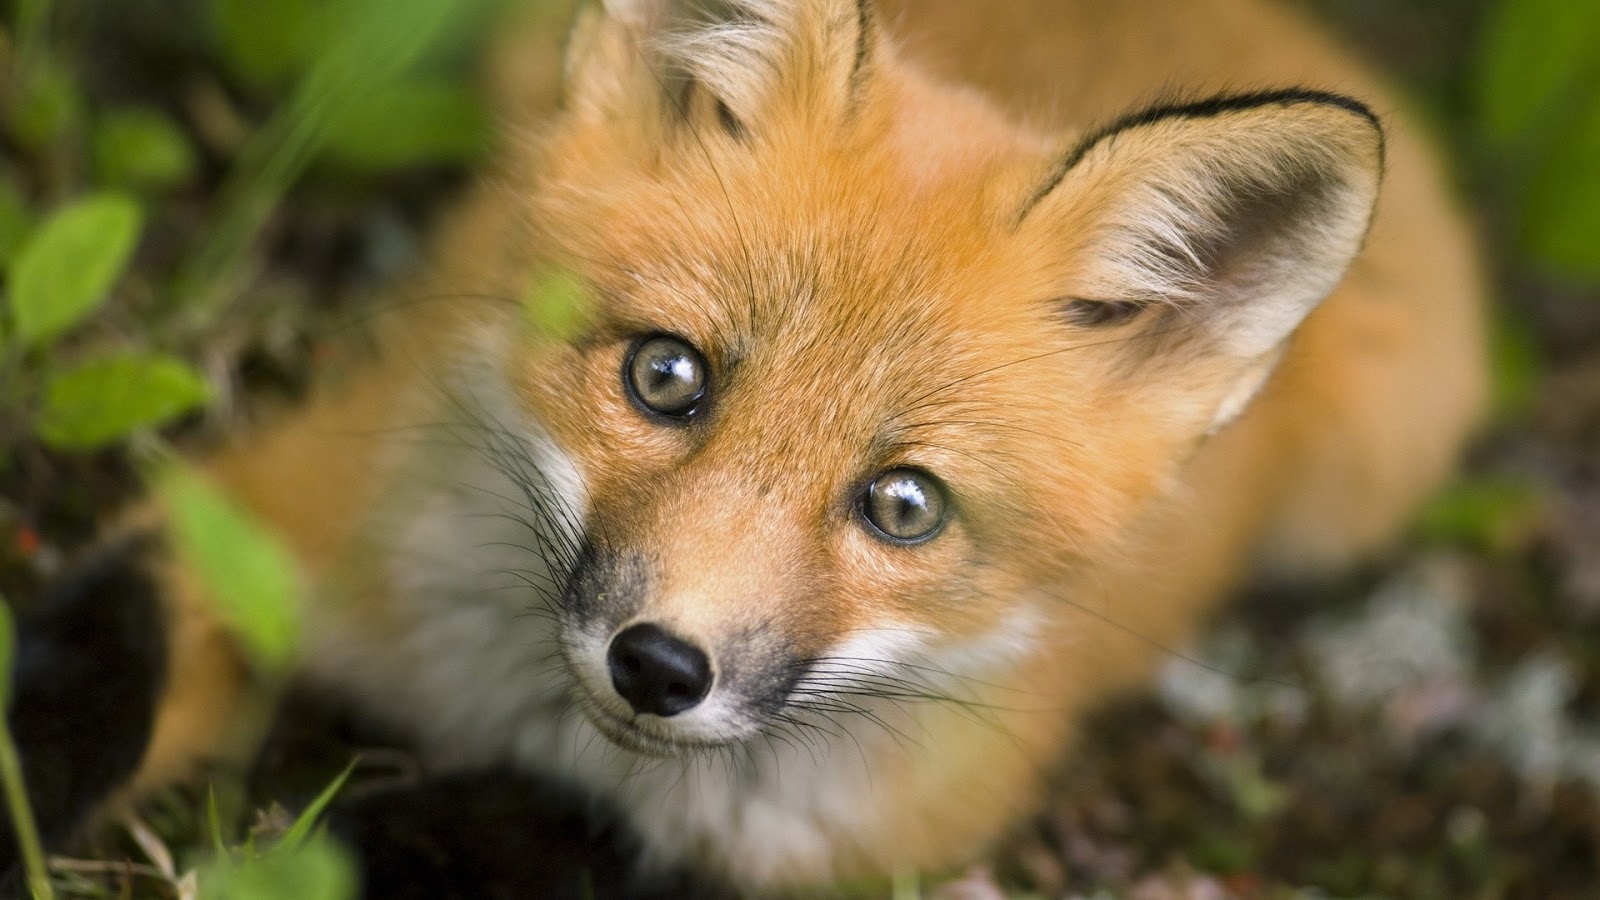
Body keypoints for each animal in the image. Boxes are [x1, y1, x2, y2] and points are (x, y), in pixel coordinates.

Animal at [4, 0, 1486, 894]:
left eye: (903, 506)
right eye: (667, 376)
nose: (658, 667)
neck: (518, 707)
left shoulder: (878, 837)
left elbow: (609, 837)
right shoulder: (264, 520)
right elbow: (85, 677)